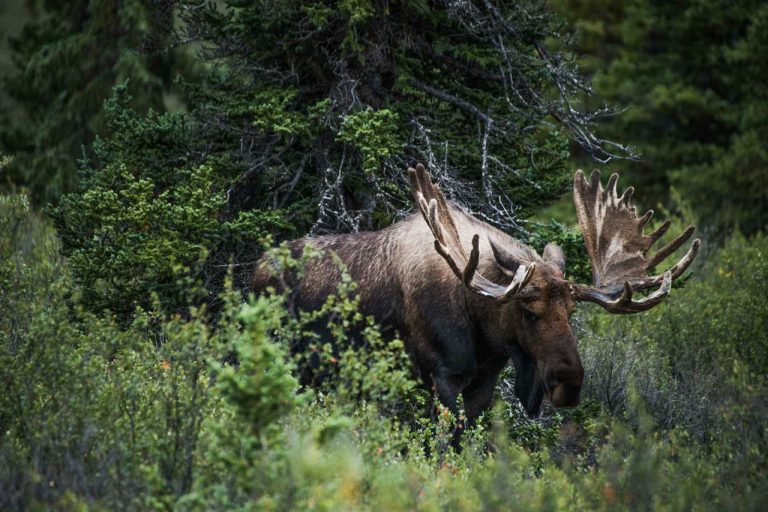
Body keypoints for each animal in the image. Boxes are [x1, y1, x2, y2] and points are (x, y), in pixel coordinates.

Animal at [252, 164, 700, 426]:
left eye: (572, 311)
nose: (569, 383)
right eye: (529, 310)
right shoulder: (443, 375)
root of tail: (256, 268)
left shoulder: (484, 382)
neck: (483, 328)